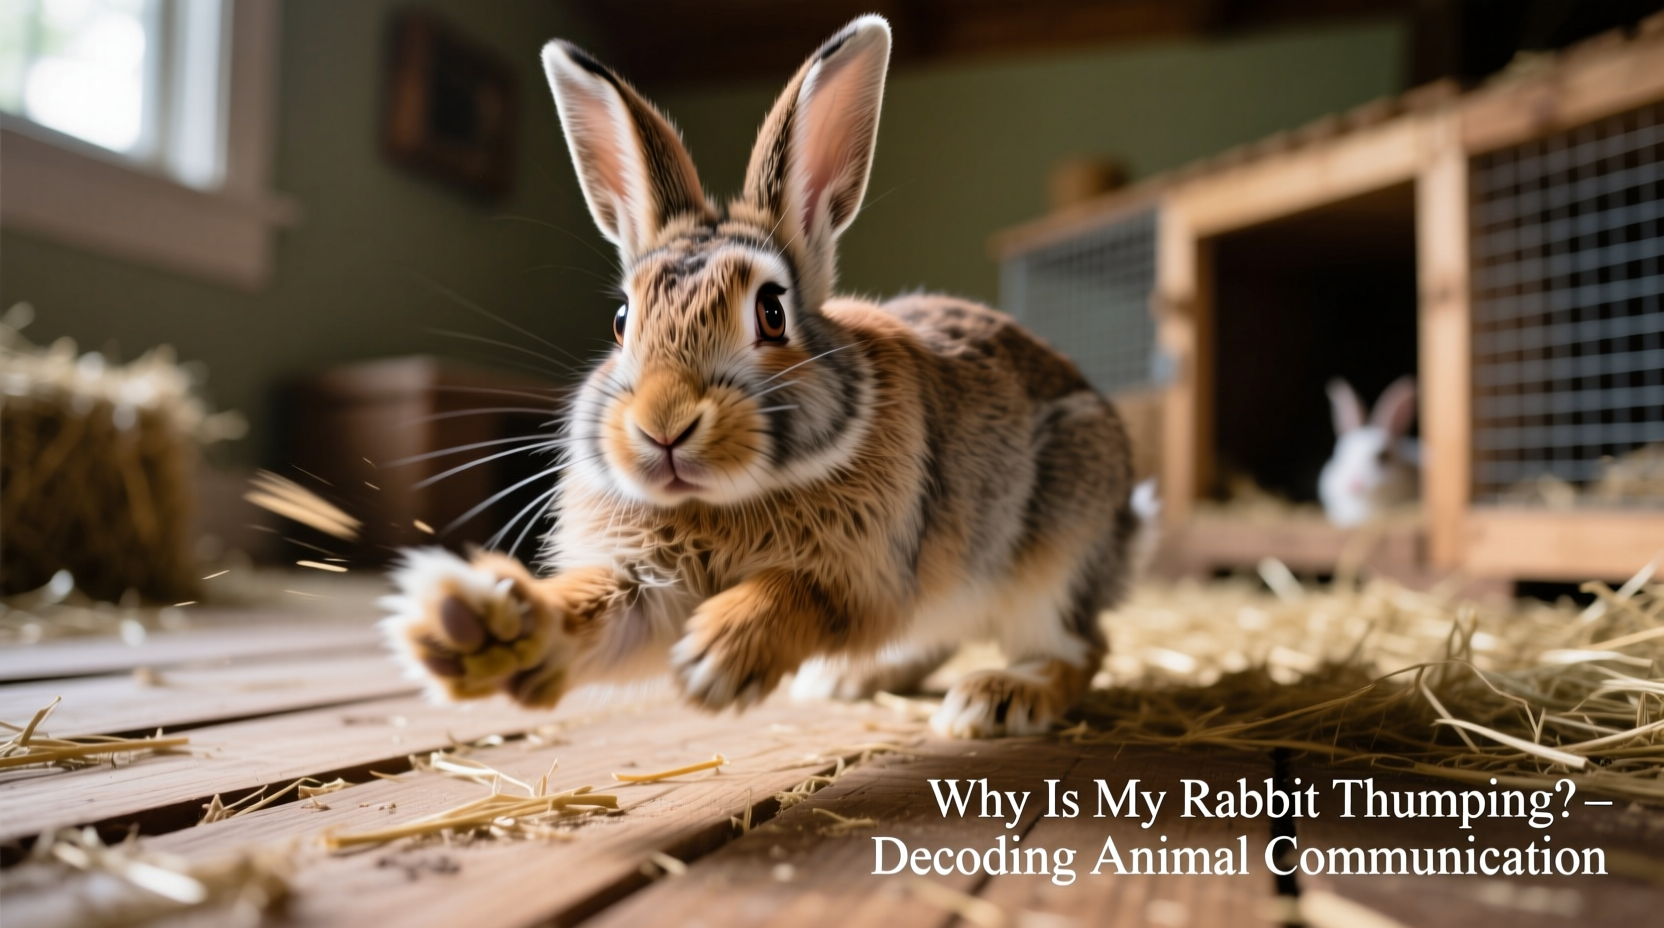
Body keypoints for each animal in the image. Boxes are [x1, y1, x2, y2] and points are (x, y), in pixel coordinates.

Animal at [380, 15, 1137, 738]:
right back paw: (844, 680)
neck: (720, 501)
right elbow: (600, 609)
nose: (663, 427)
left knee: (1081, 648)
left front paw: (718, 655)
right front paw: (474, 628)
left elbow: (798, 594)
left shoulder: (862, 576)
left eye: (772, 312)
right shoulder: (648, 581)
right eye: (622, 319)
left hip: (1058, 552)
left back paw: (997, 700)